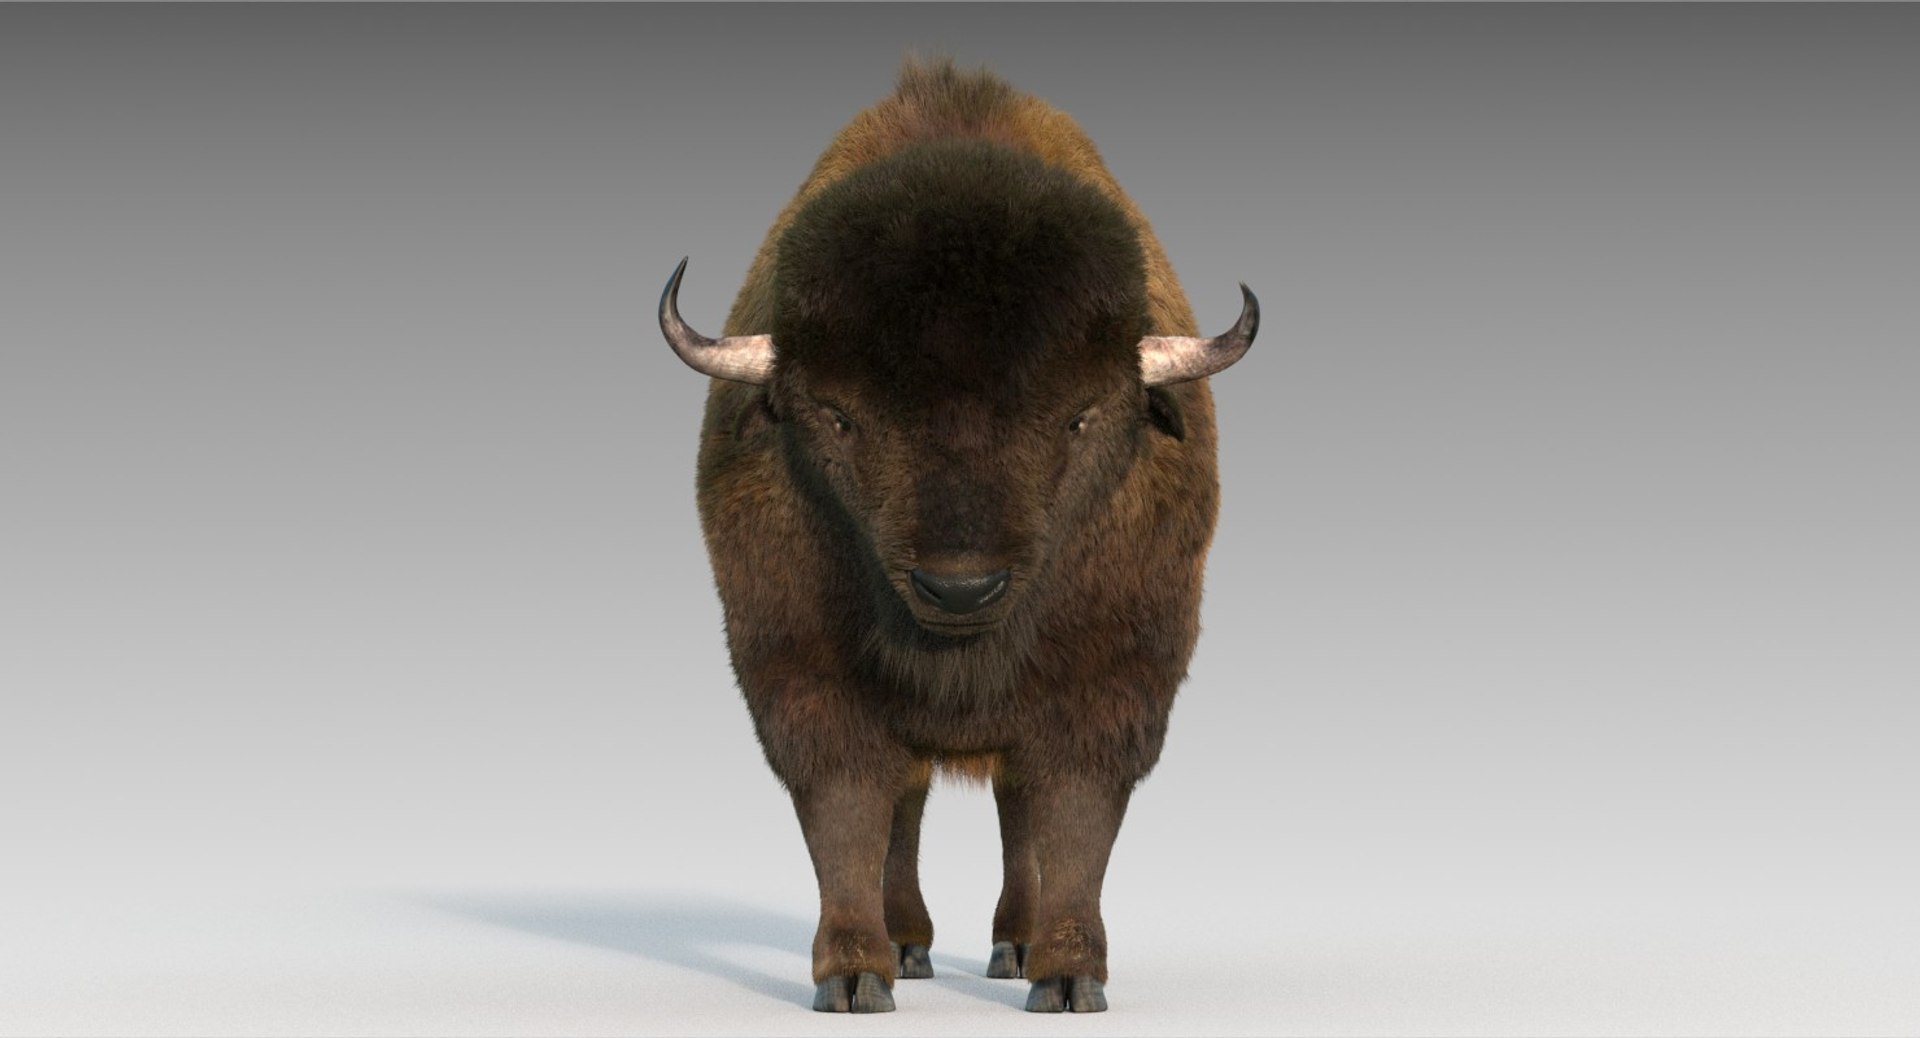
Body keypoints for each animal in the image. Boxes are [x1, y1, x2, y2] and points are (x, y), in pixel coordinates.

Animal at [659, 59, 1257, 1013]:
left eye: (1082, 416)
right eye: (838, 416)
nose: (960, 587)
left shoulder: (1113, 681)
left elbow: (1076, 817)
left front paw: (1070, 976)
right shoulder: (804, 676)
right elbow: (847, 814)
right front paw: (854, 974)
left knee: (1018, 812)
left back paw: (1014, 946)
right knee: (908, 811)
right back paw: (908, 946)